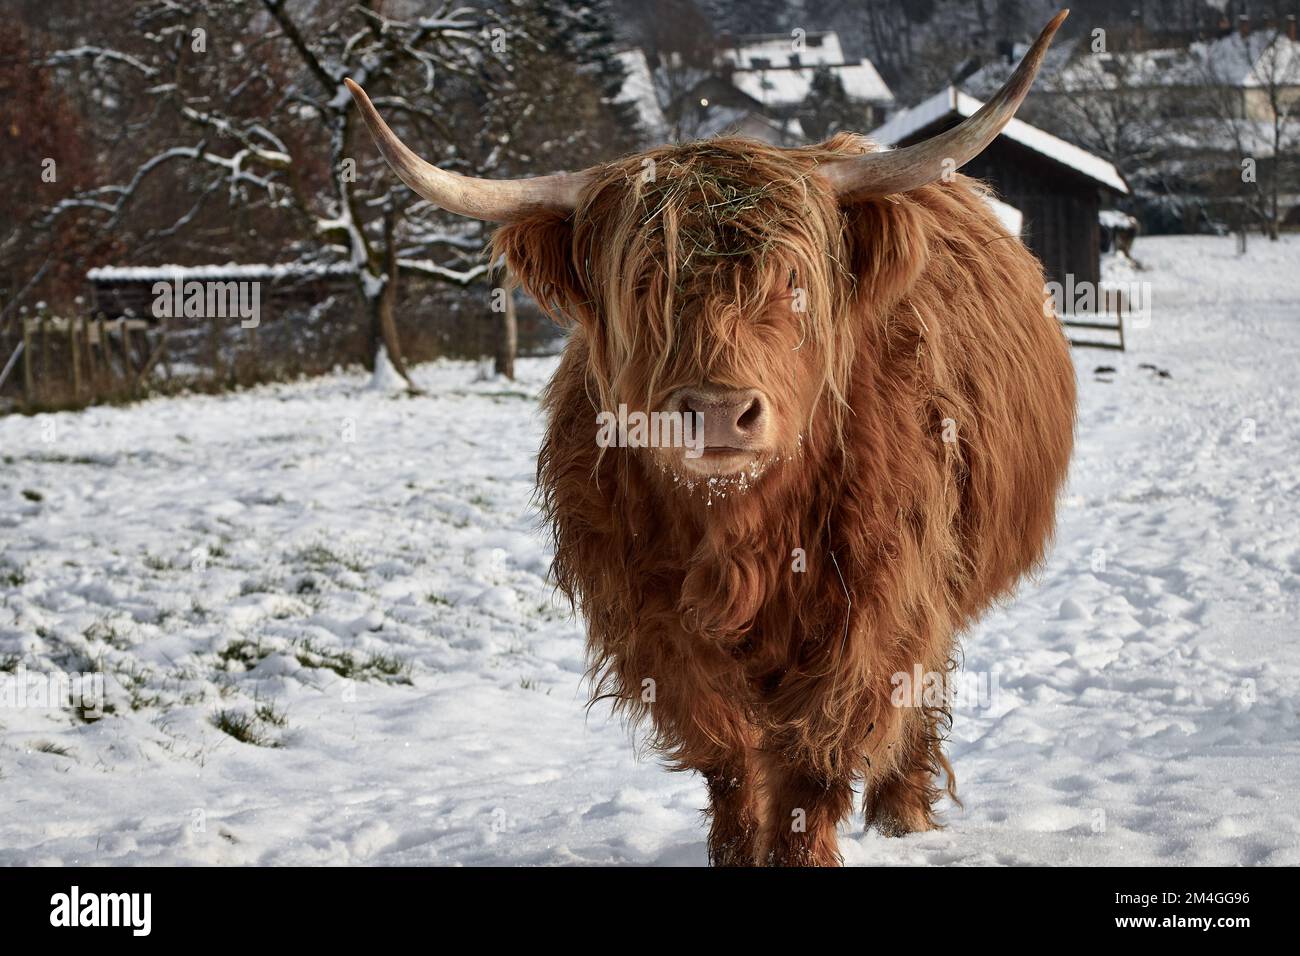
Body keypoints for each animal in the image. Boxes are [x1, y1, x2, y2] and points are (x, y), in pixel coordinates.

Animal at [346, 10, 1077, 866]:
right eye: (643, 283)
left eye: (793, 280)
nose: (720, 411)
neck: (740, 530)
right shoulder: (656, 622)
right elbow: (727, 754)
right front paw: (734, 848)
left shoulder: (875, 602)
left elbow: (816, 758)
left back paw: (904, 813)